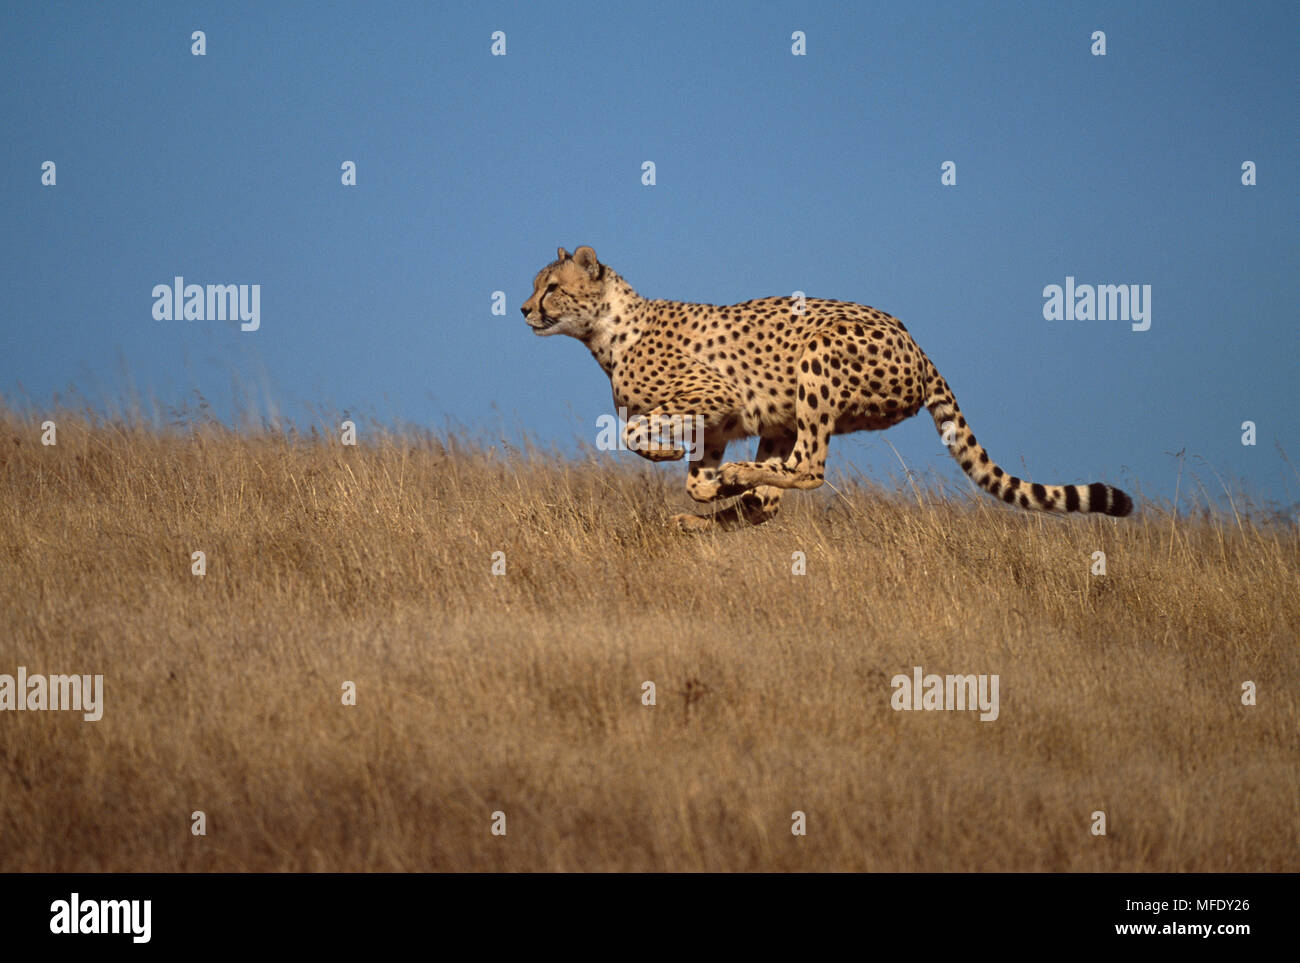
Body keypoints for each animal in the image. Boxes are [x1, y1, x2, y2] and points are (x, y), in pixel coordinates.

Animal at [521, 245, 1133, 532]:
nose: (525, 309)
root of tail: (917, 345)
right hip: (784, 419)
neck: (606, 330)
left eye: (551, 287)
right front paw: (710, 488)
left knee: (810, 469)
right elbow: (696, 480)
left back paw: (740, 480)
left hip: (819, 357)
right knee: (772, 496)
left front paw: (673, 456)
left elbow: (634, 432)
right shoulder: (721, 425)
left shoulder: (716, 398)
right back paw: (724, 499)